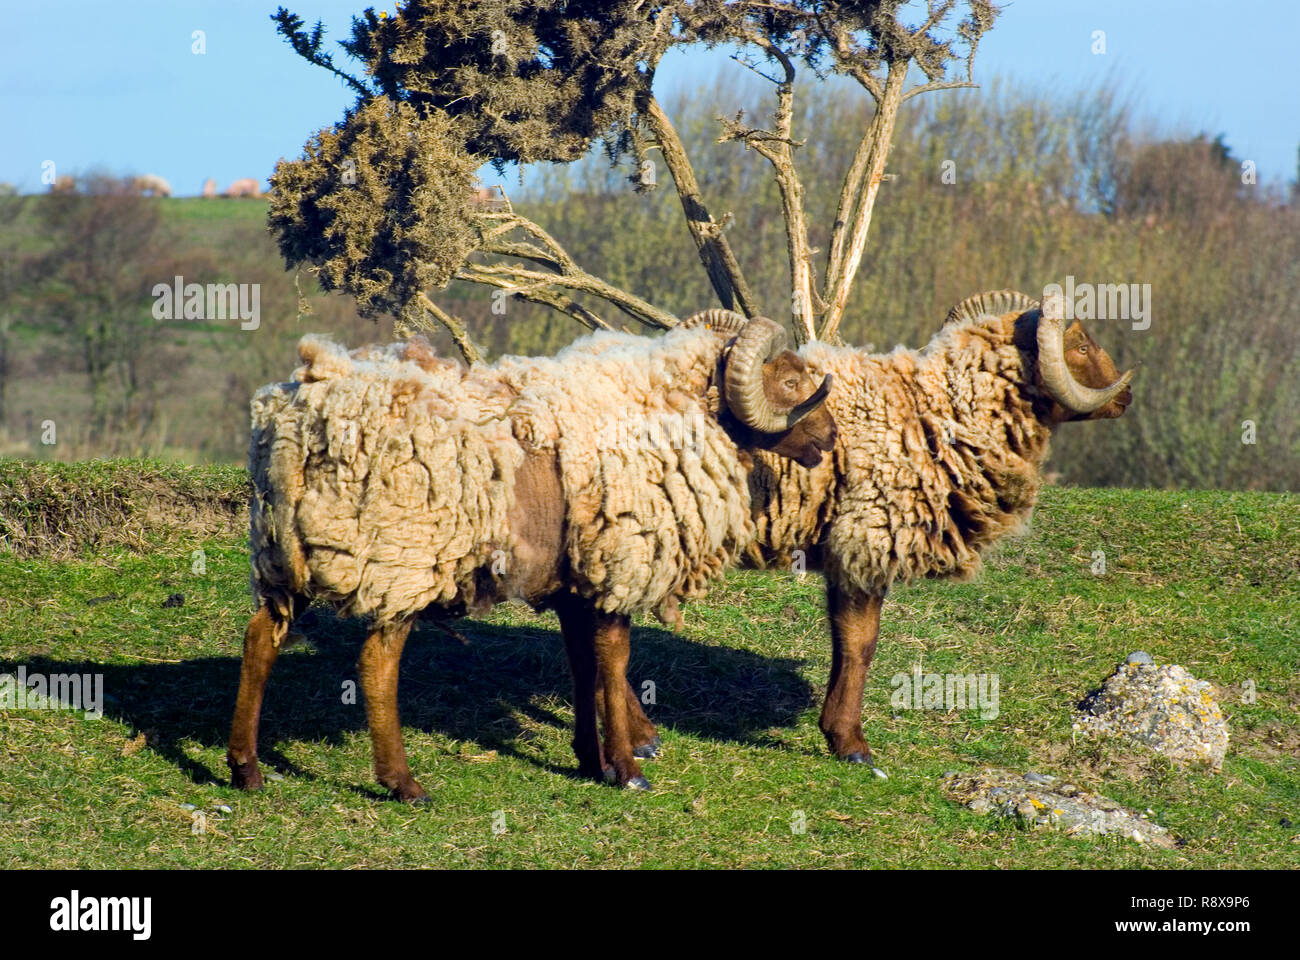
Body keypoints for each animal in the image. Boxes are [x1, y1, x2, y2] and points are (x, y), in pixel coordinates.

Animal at [227, 317, 835, 799]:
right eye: (787, 380)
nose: (829, 437)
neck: (672, 408)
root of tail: (295, 423)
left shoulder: (575, 581)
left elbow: (583, 662)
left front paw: (591, 759)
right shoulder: (620, 563)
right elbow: (614, 659)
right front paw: (627, 769)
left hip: (287, 556)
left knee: (261, 639)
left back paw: (245, 769)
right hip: (405, 558)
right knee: (376, 665)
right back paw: (402, 783)